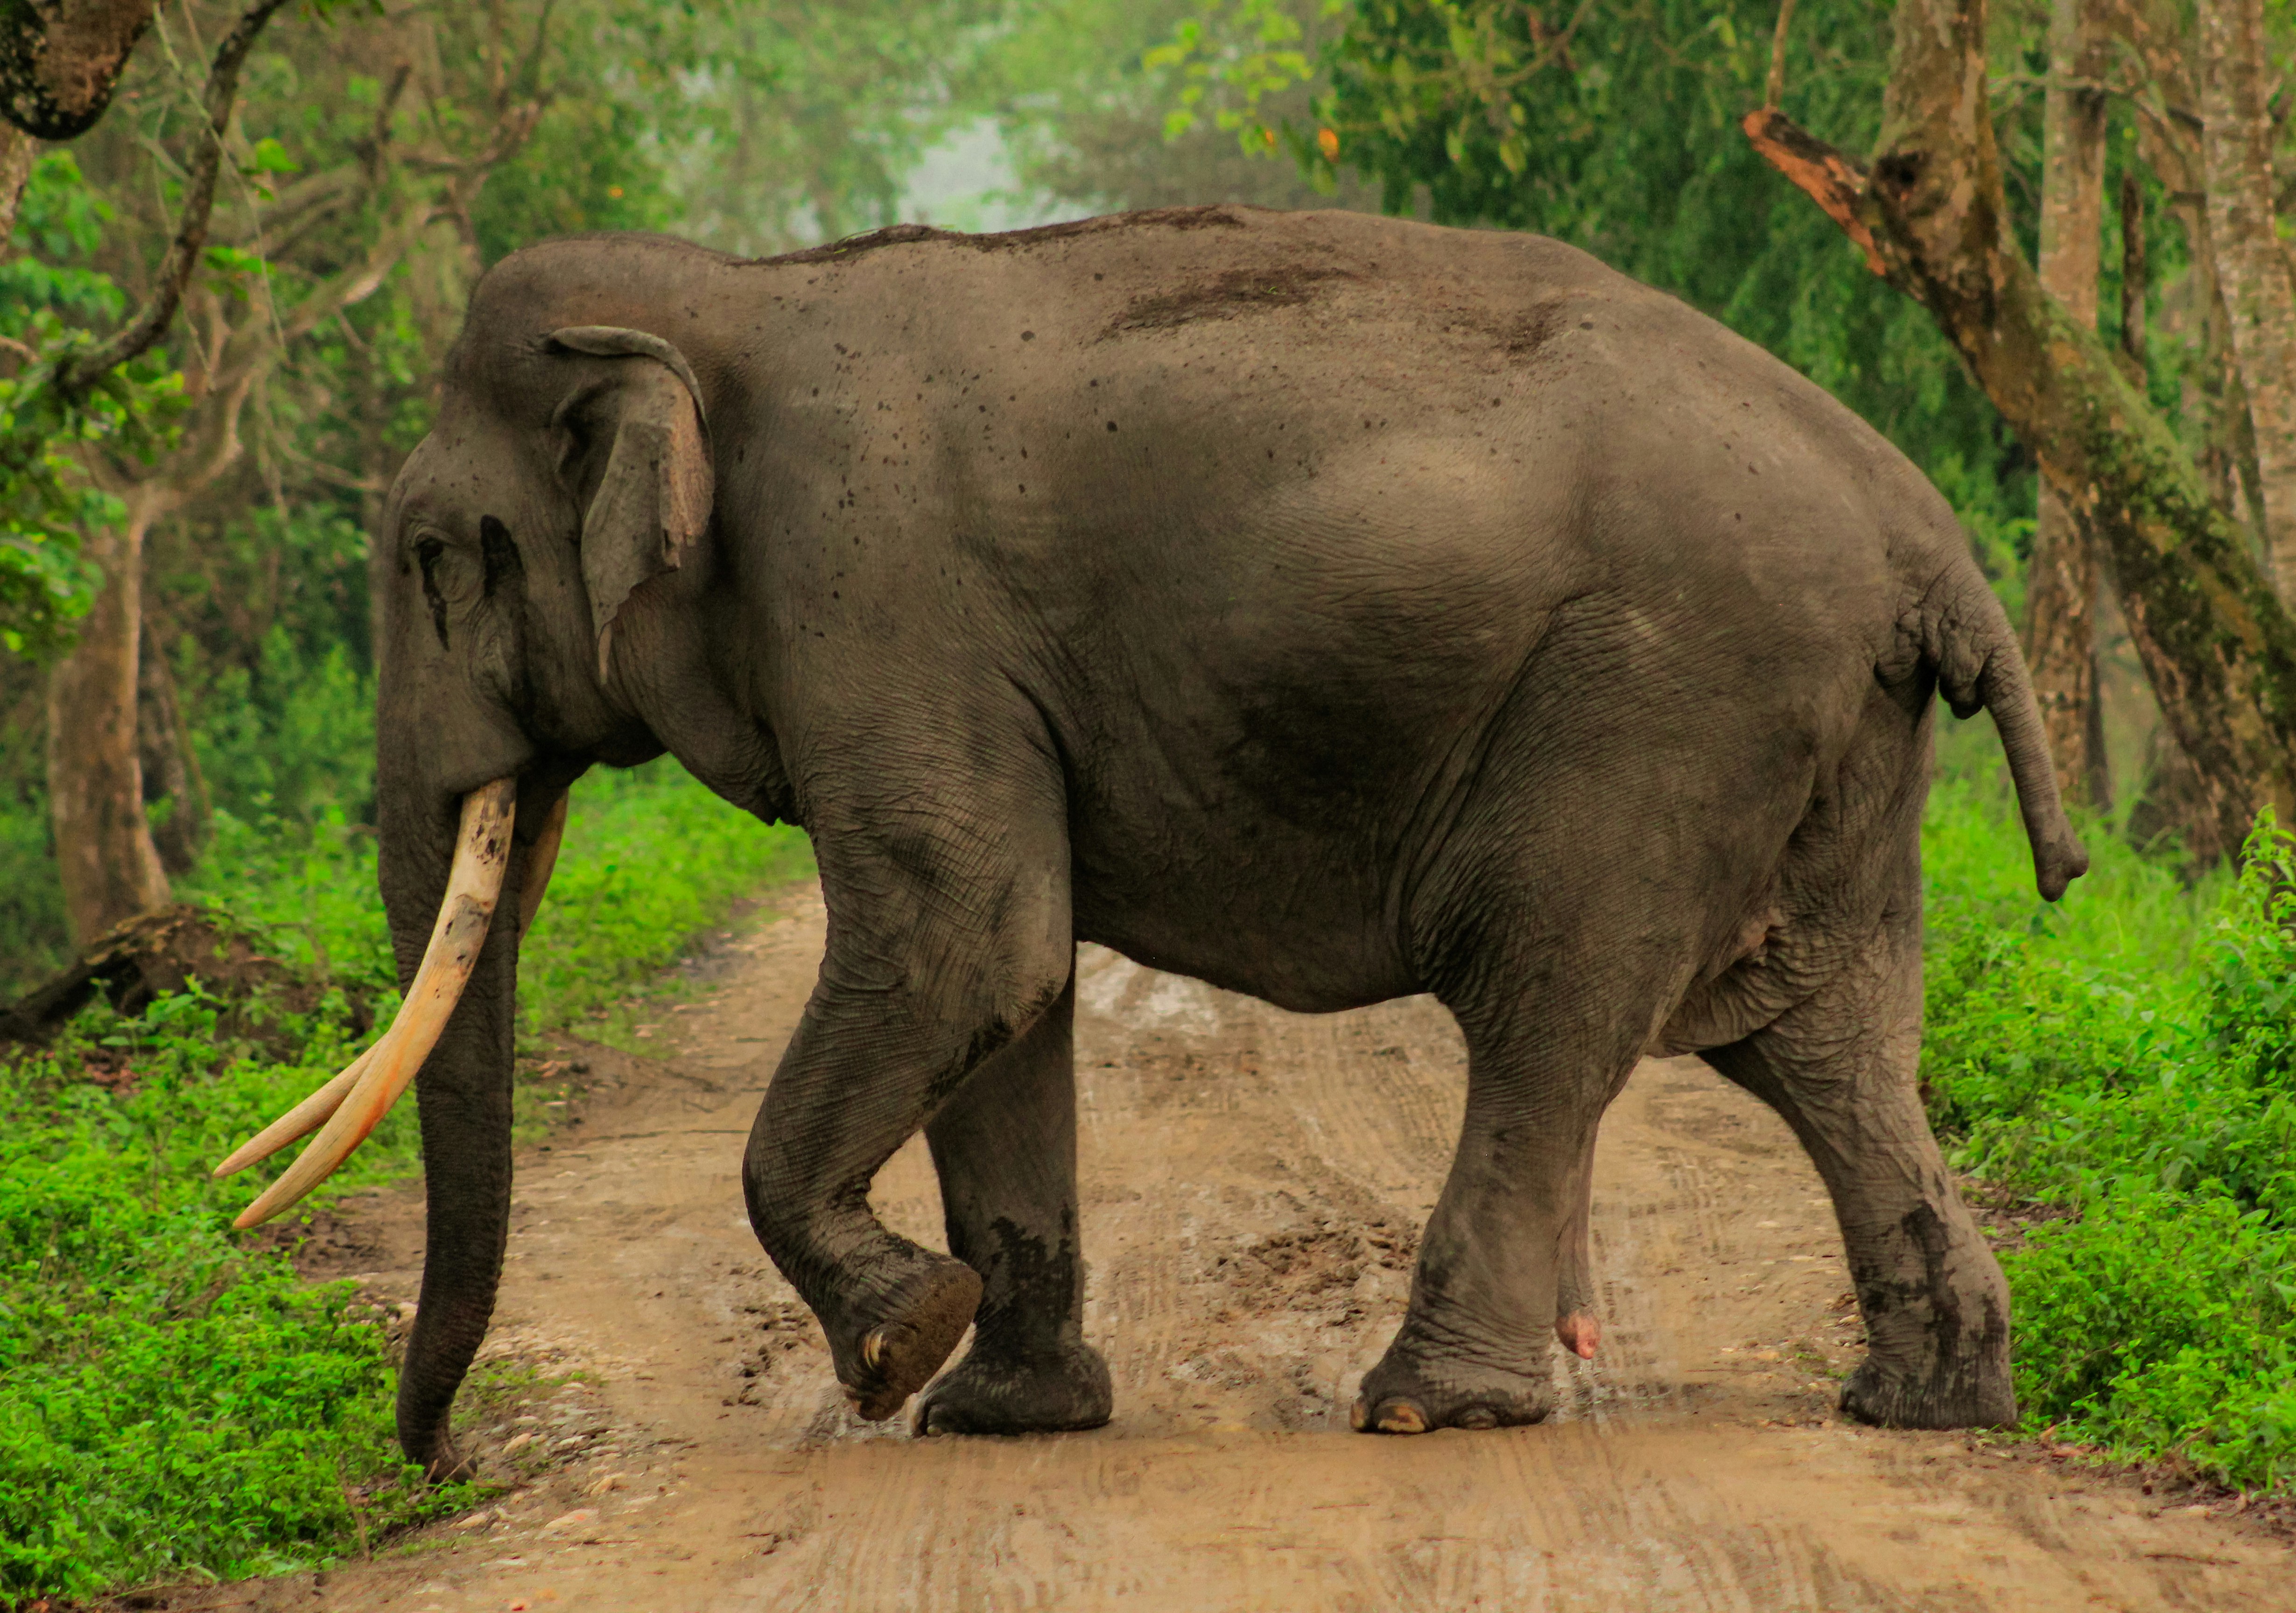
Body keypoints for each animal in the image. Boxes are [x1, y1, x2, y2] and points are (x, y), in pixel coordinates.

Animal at [216, 204, 2086, 1480]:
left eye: (436, 557)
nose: (440, 1457)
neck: (731, 289)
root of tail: (1927, 537)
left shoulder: (873, 596)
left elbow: (967, 934)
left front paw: (899, 1351)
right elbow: (1007, 983)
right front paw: (1002, 1415)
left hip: (1656, 710)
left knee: (1549, 1008)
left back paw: (1425, 1409)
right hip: (1825, 742)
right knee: (1823, 1038)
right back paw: (1923, 1402)